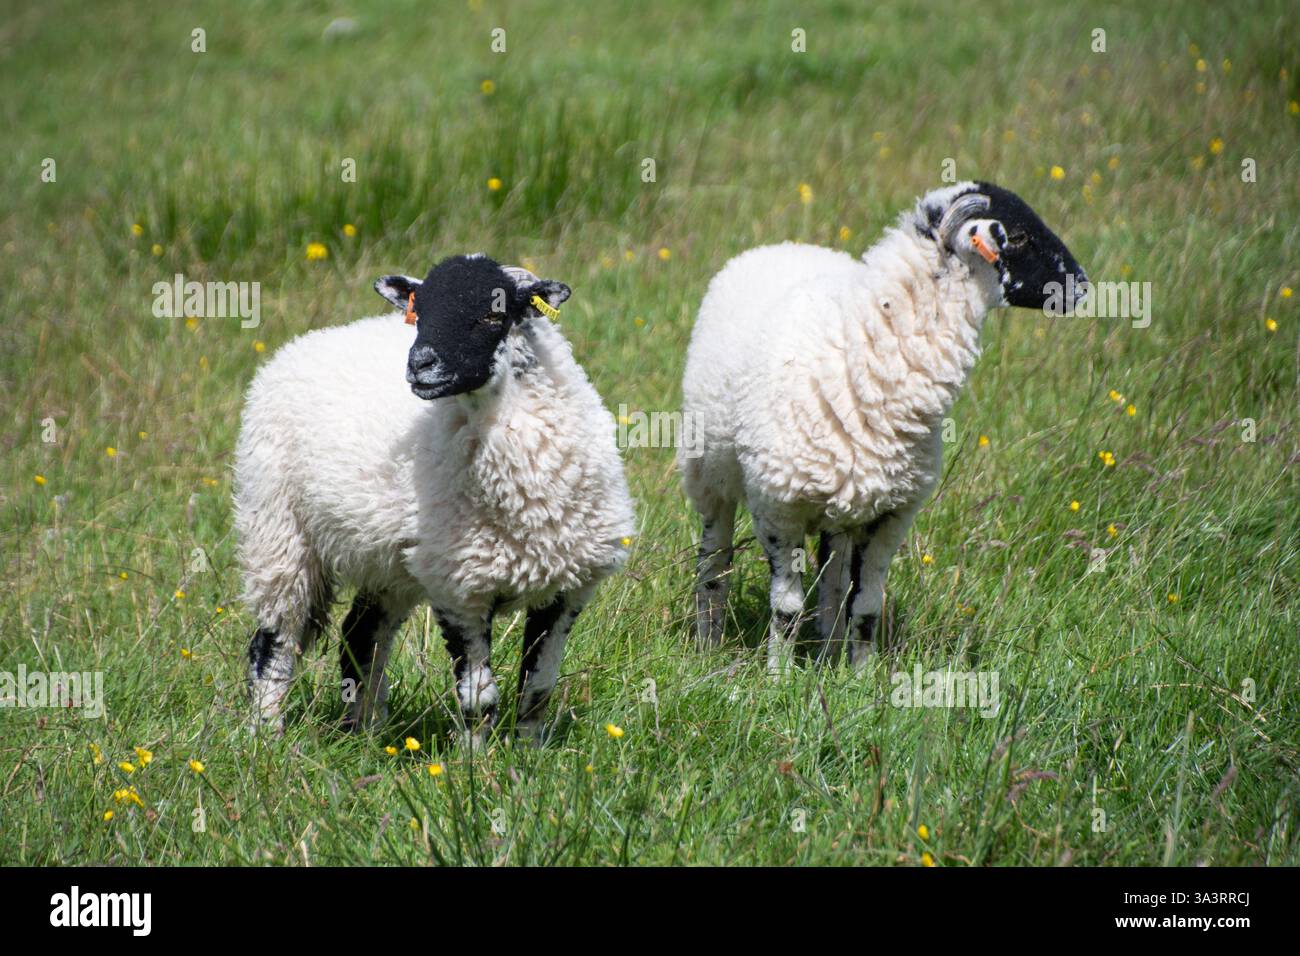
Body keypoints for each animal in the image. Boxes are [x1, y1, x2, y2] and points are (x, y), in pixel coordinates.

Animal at [234, 253, 636, 743]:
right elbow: (478, 699)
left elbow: (538, 687)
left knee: (361, 635)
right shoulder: (459, 586)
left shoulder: (567, 585)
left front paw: (529, 751)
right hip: (278, 530)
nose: (420, 364)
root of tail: (304, 341)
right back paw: (265, 735)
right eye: (420, 314)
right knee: (273, 640)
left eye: (493, 314)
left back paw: (366, 733)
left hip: (388, 561)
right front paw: (474, 758)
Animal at [680, 181, 1088, 671]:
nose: (1083, 286)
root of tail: (782, 245)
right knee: (714, 562)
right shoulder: (778, 505)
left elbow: (866, 605)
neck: (867, 340)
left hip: (844, 504)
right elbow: (786, 609)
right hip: (709, 474)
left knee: (833, 579)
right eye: (1020, 236)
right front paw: (778, 676)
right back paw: (708, 640)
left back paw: (829, 650)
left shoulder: (892, 514)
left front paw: (859, 674)